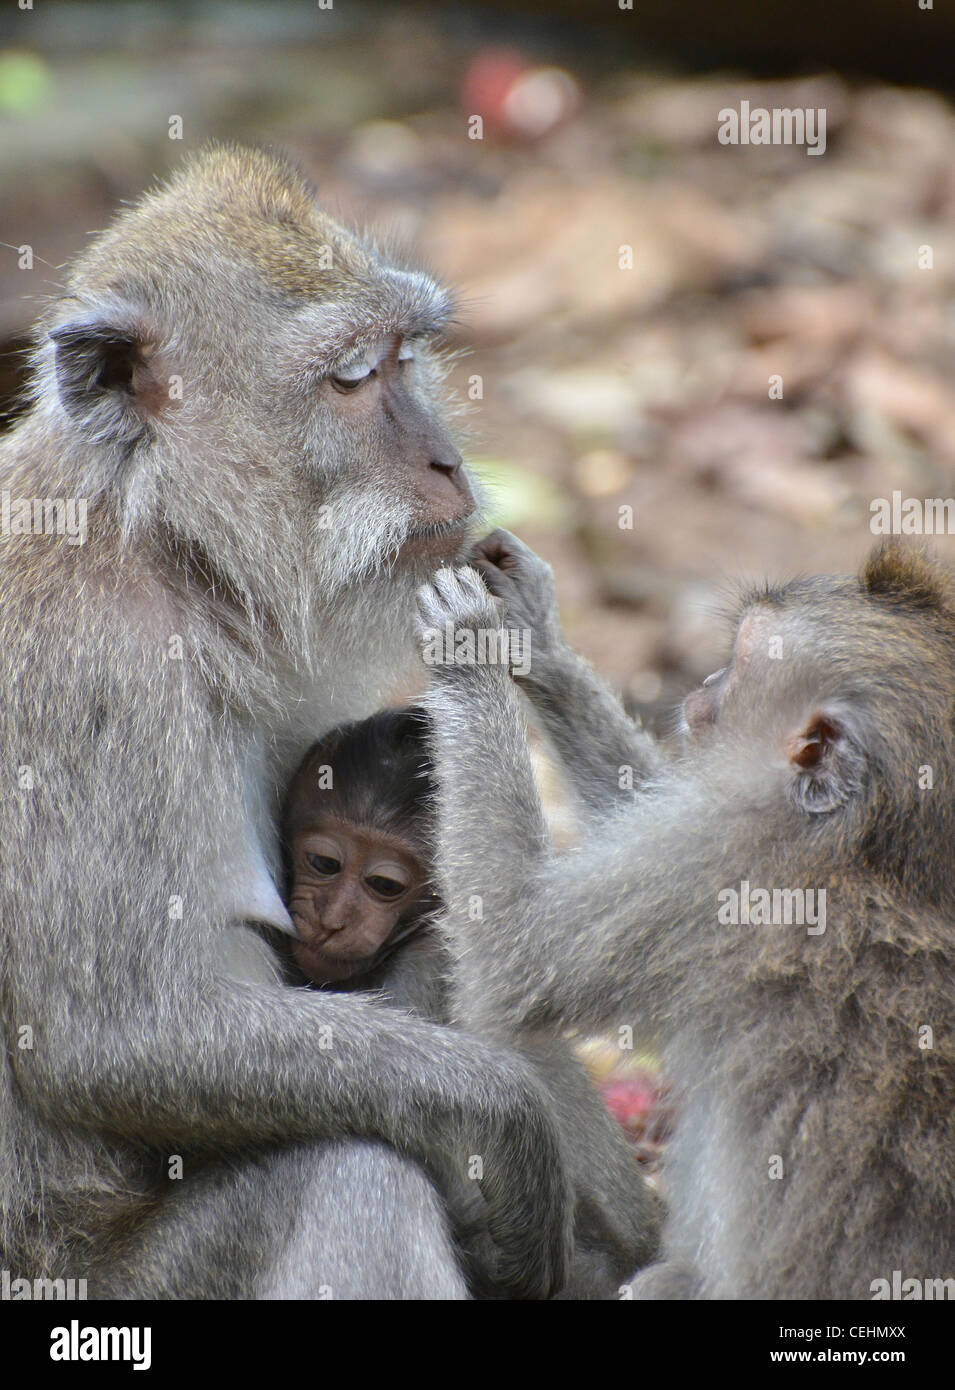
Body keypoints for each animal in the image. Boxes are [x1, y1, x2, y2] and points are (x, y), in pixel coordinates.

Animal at [0, 146, 572, 1302]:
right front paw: (513, 1135)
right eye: (352, 377)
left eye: (404, 358)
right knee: (355, 1174)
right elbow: (110, 1039)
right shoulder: (89, 673)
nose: (446, 461)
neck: (159, 540)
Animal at [414, 531, 955, 1300]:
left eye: (739, 666)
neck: (876, 843)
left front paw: (469, 648)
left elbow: (513, 952)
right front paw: (535, 631)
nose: (704, 687)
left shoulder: (721, 871)